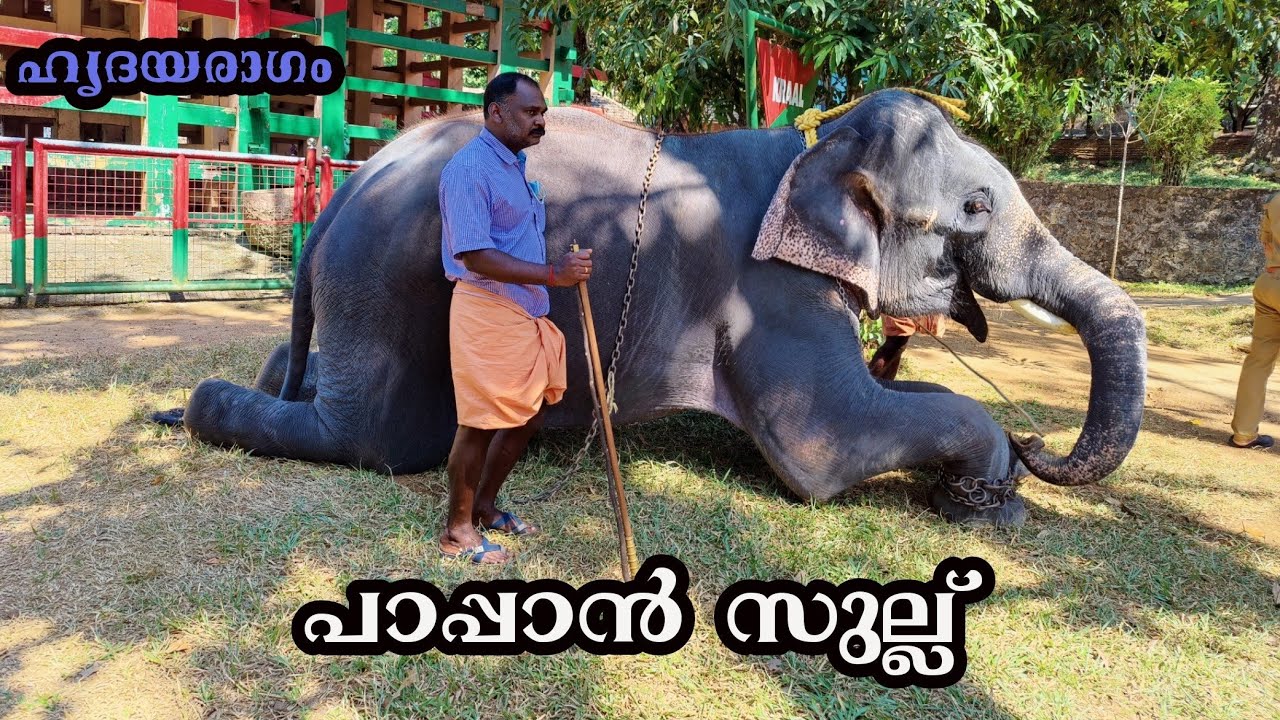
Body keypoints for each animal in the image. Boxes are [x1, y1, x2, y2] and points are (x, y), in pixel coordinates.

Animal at [162, 89, 1147, 527]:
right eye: (975, 207)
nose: (1040, 441)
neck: (815, 144)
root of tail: (340, 193)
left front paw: (981, 493)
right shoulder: (769, 292)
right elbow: (823, 448)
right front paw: (989, 497)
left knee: (305, 377)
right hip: (388, 286)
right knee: (374, 438)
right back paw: (196, 406)